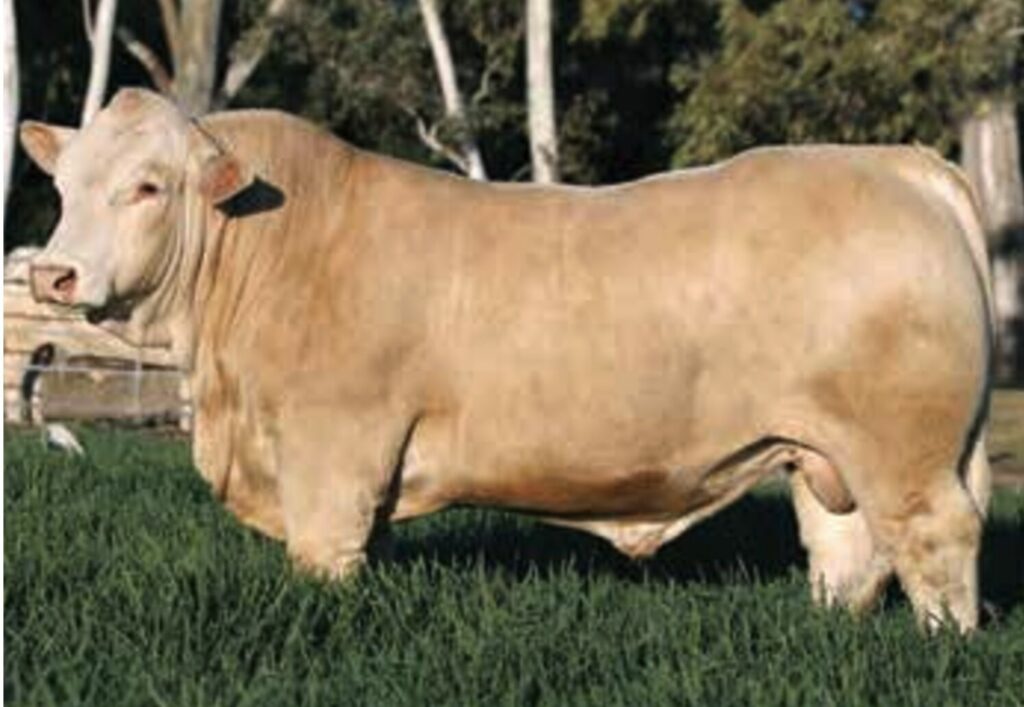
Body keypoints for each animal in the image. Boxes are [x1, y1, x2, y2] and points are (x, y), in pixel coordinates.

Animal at [21, 88, 993, 632]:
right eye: (62, 185)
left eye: (148, 185)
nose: (54, 272)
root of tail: (900, 164)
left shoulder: (334, 449)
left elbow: (325, 554)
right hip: (821, 448)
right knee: (847, 549)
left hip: (905, 450)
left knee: (936, 538)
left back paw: (943, 642)